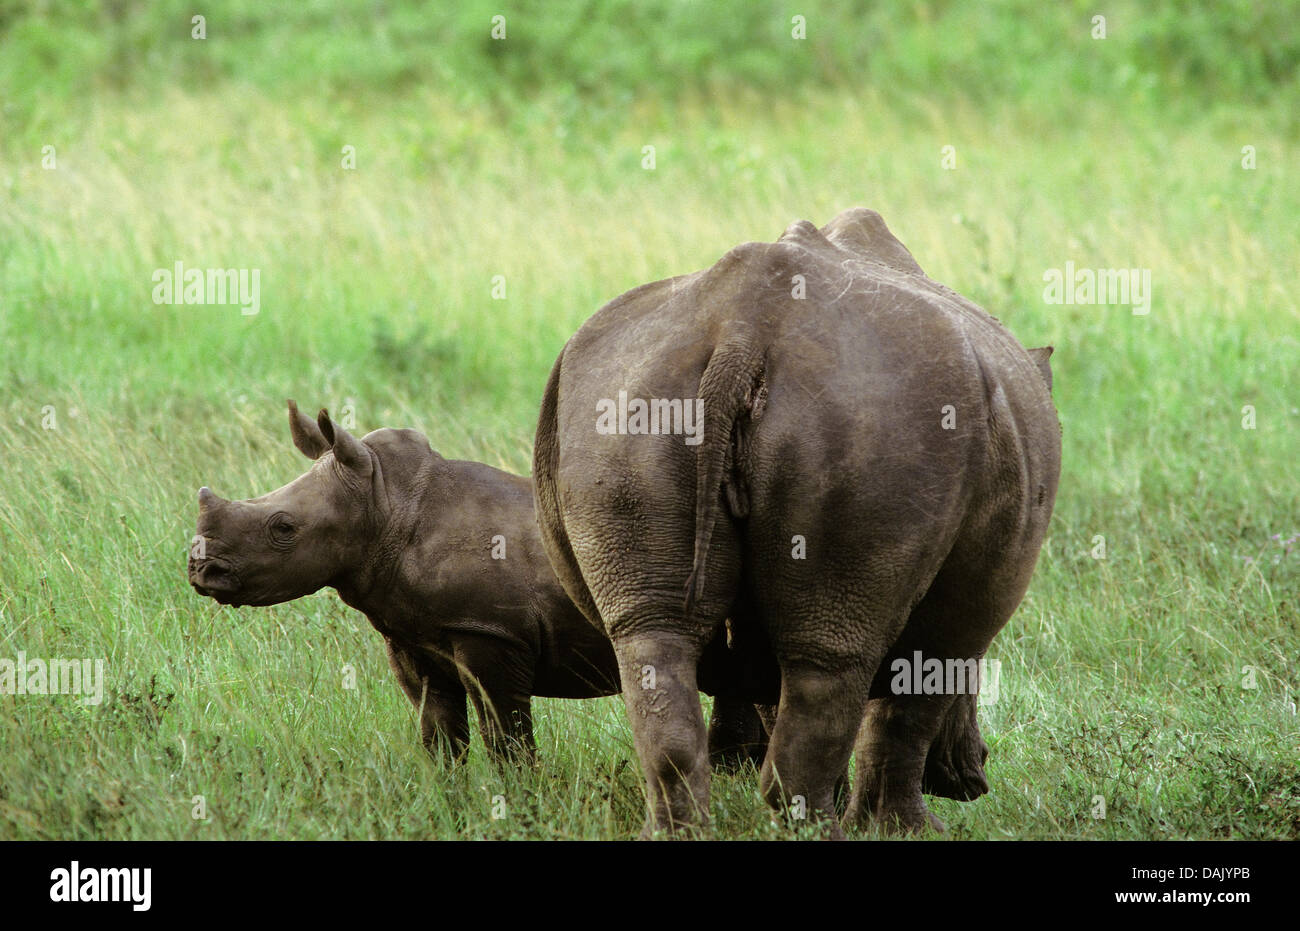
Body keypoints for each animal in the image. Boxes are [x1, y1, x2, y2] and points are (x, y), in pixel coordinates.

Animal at [188, 401, 767, 765]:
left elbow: (505, 741)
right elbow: (440, 738)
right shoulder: (413, 638)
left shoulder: (490, 633)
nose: (199, 571)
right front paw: (451, 804)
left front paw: (519, 807)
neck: (384, 503)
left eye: (283, 528)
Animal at [533, 208, 1061, 836]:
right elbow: (908, 711)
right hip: (877, 415)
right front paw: (906, 830)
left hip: (627, 400)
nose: (974, 779)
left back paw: (682, 829)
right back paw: (820, 829)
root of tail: (740, 329)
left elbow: (779, 691)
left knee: (654, 637)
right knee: (829, 660)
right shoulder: (959, 623)